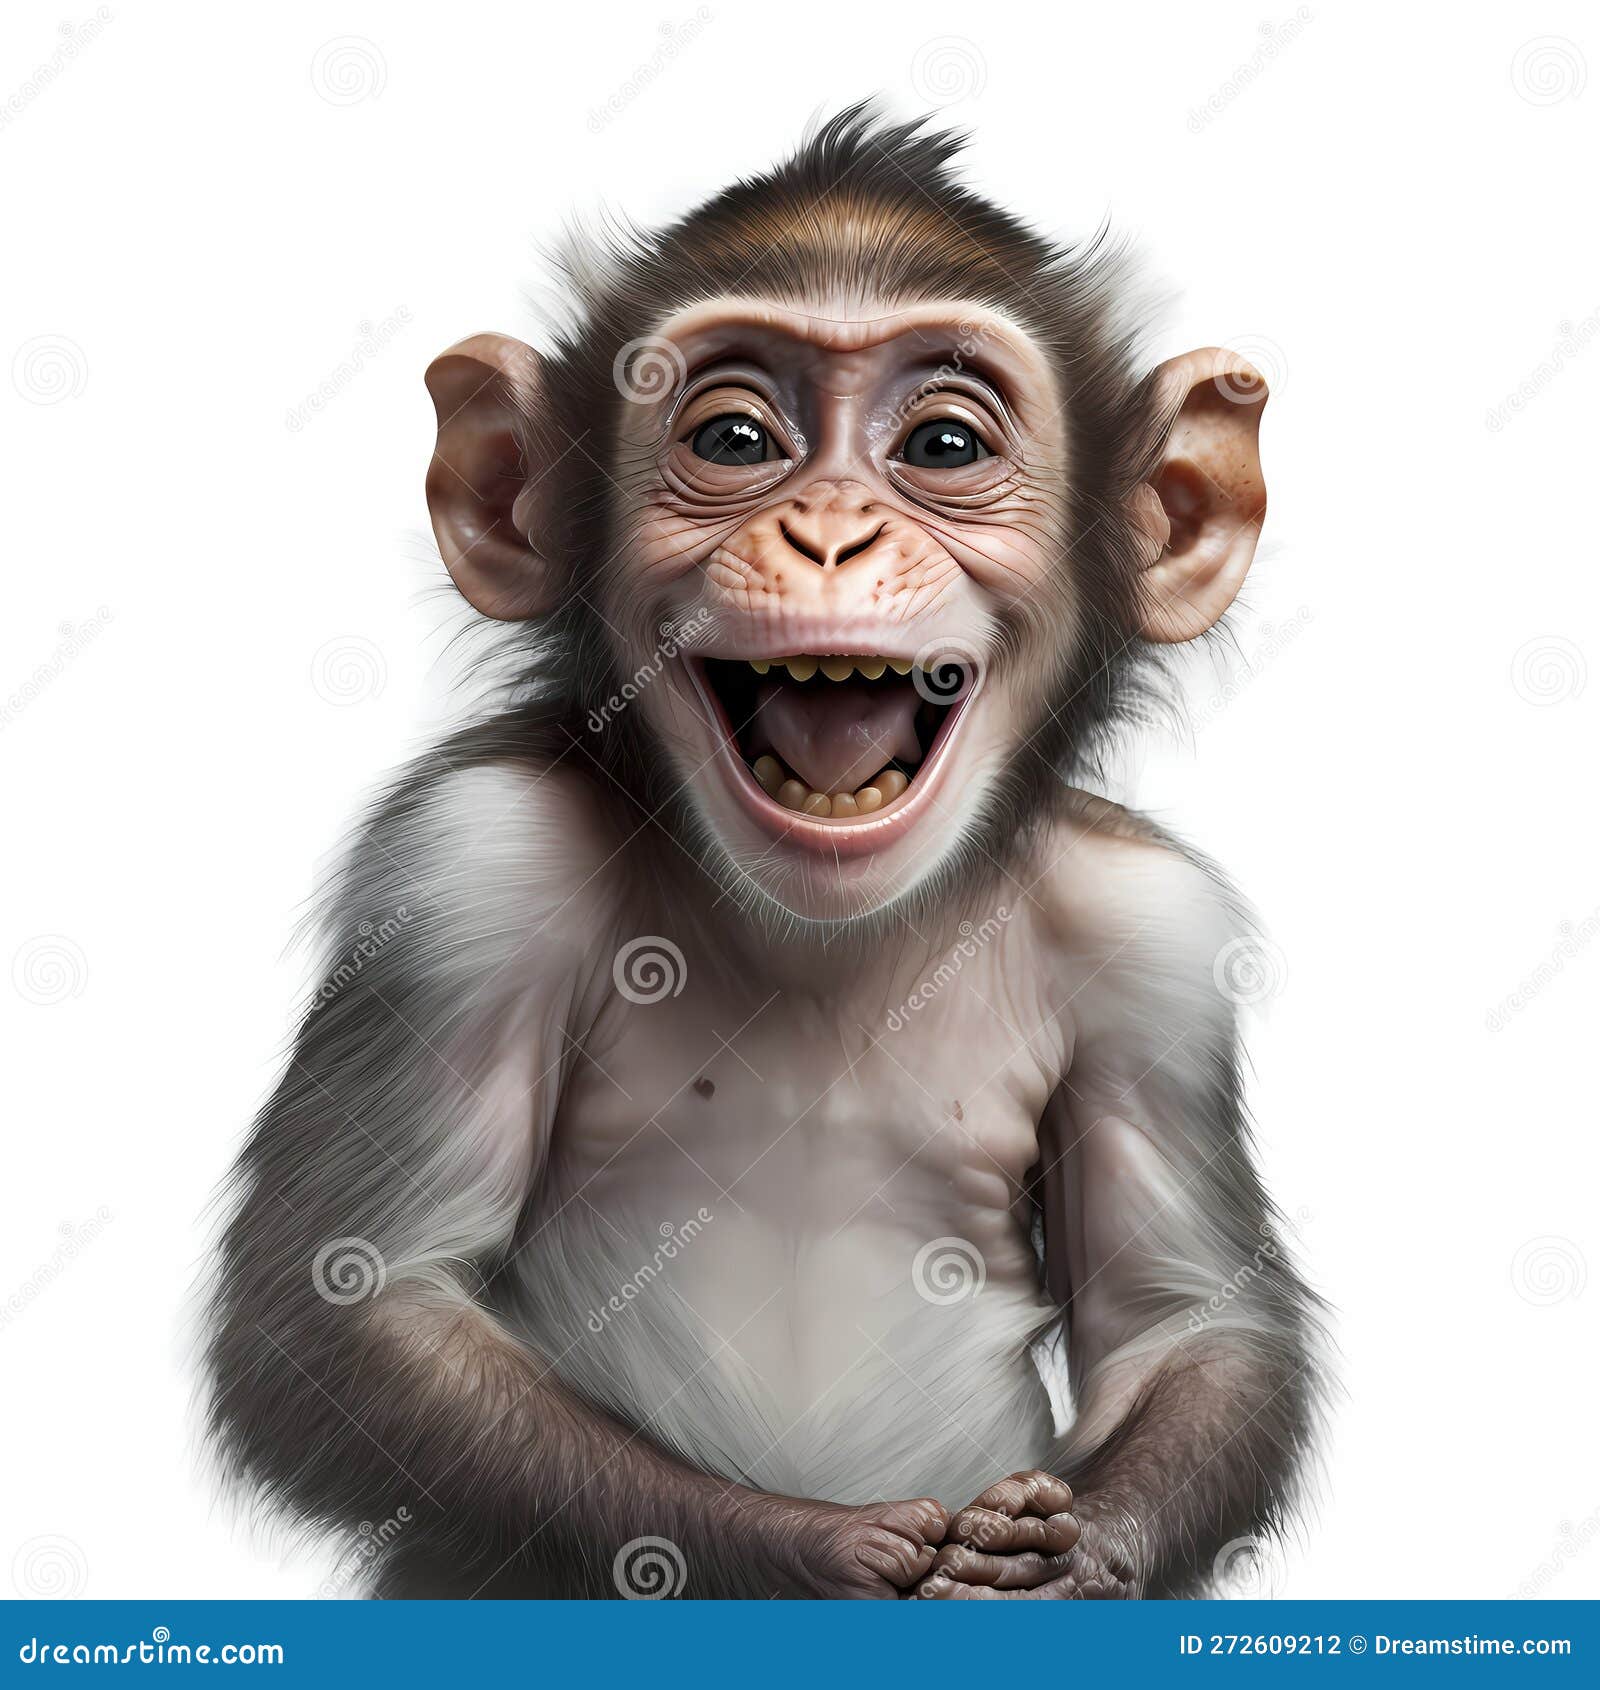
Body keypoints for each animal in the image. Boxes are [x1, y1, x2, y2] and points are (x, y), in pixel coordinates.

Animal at [204, 106, 1326, 1600]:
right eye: (735, 435)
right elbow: (355, 1287)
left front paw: (1071, 1552)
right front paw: (829, 1551)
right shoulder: (466, 872)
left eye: (946, 444)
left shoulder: (1159, 947)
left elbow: (1182, 1324)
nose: (831, 530)